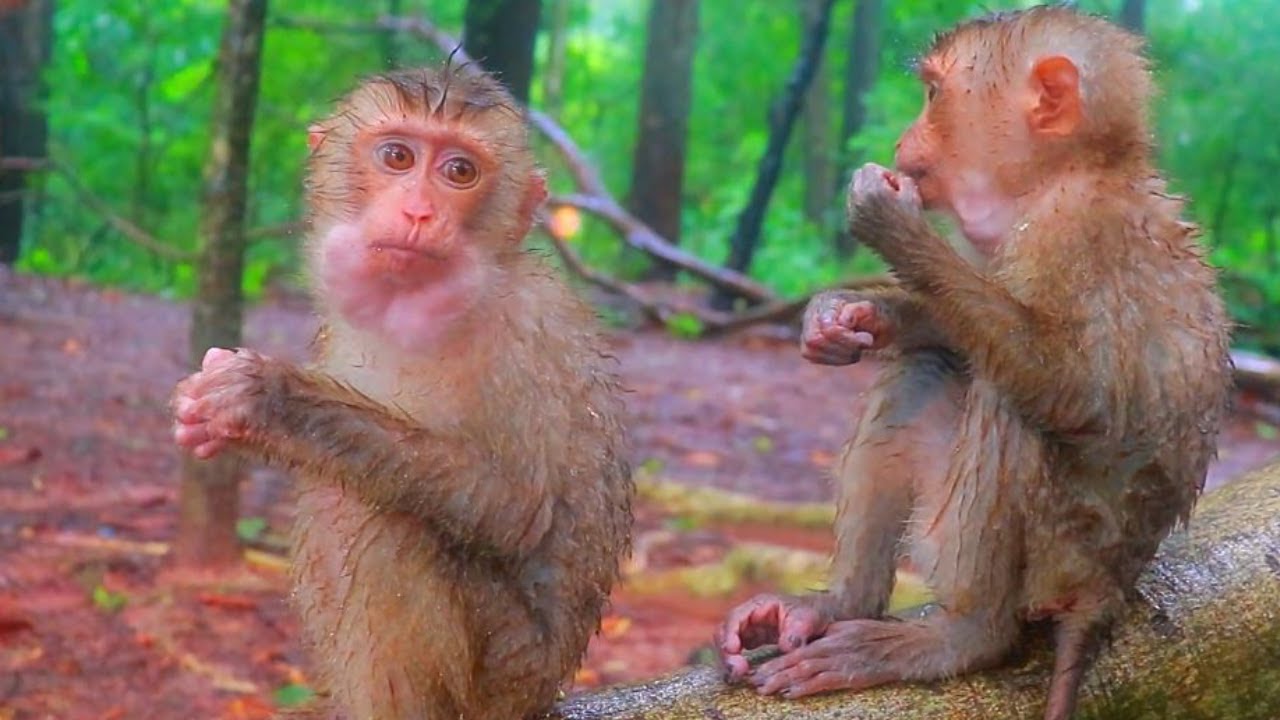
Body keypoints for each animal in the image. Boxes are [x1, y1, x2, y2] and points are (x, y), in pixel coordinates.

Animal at [171, 66, 633, 720]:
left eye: (459, 171)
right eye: (397, 156)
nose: (417, 210)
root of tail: (547, 689)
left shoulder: (523, 331)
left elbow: (518, 508)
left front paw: (266, 400)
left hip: (510, 673)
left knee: (372, 522)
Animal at [717, 7, 1232, 719]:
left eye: (934, 95)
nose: (903, 139)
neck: (1058, 179)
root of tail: (1103, 591)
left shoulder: (1074, 235)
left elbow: (1079, 394)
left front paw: (891, 224)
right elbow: (949, 337)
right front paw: (843, 315)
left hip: (1058, 555)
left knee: (1011, 403)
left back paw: (967, 635)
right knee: (927, 368)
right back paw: (837, 606)